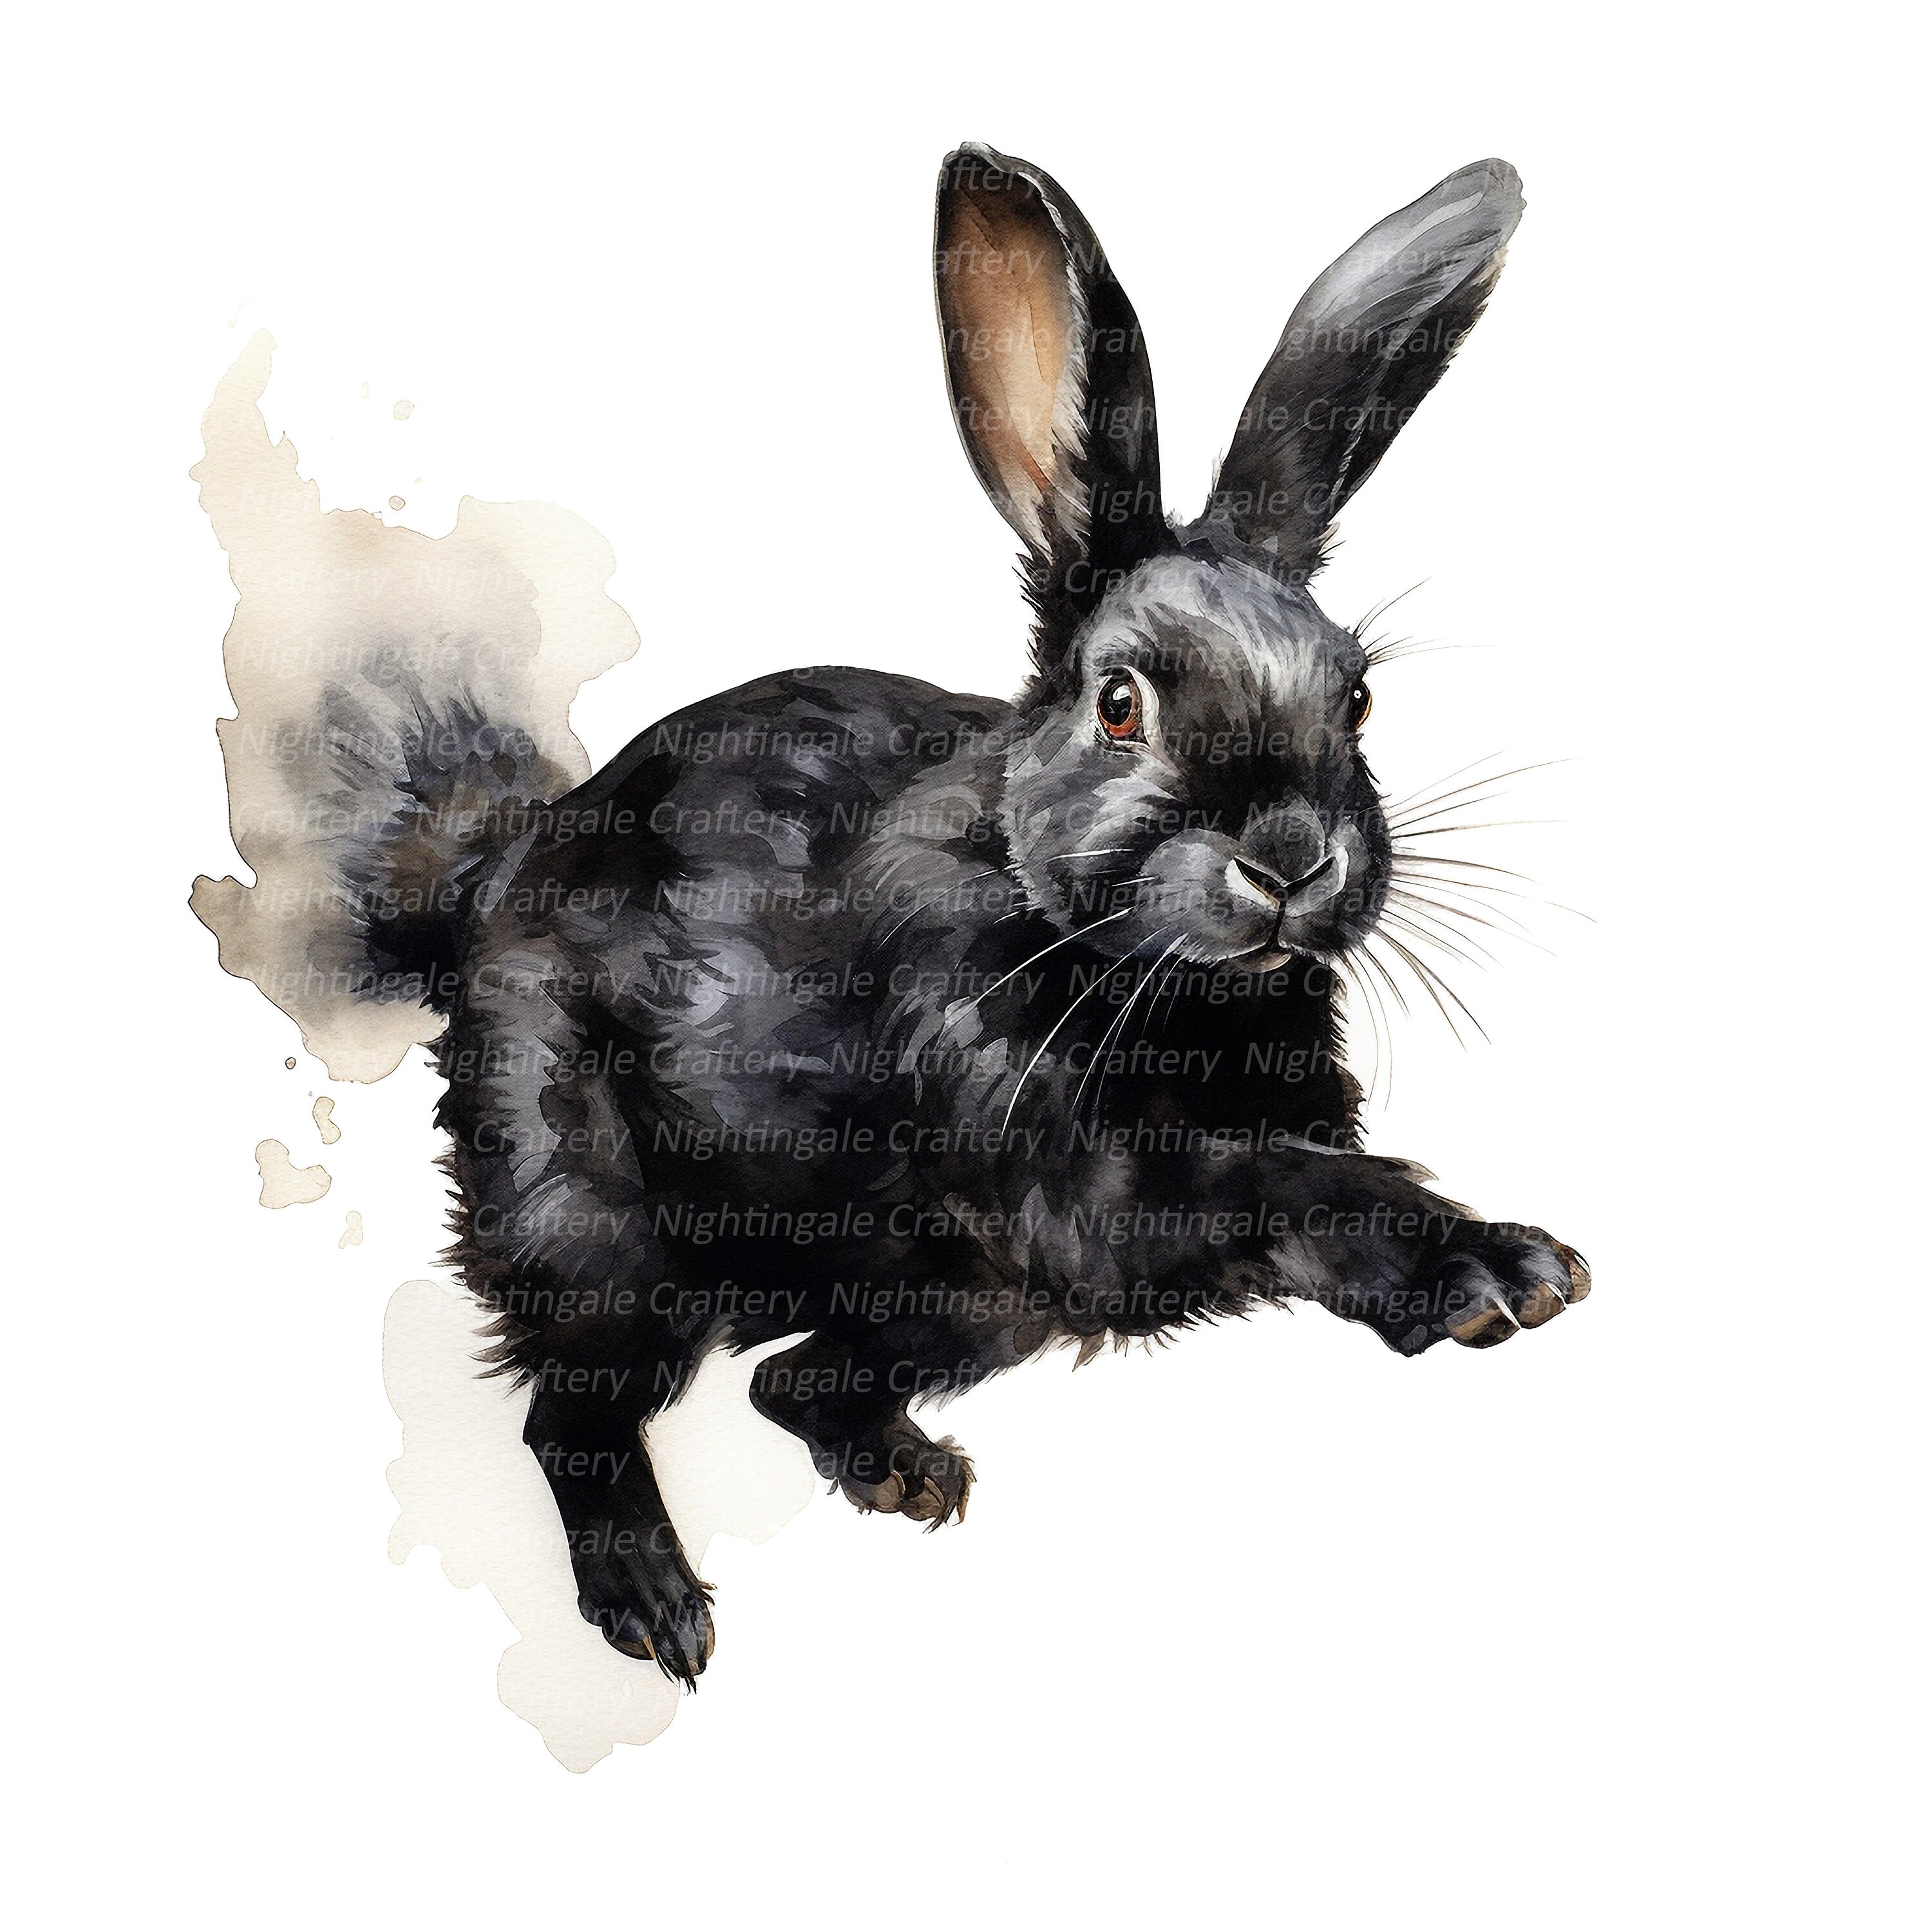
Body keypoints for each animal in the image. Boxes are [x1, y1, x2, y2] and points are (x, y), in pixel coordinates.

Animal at [343, 143, 1588, 1683]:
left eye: (1354, 698)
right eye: (1120, 704)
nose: (1293, 860)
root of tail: (487, 890)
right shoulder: (1068, 1171)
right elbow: (1278, 1190)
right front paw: (1496, 1269)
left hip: (956, 1302)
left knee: (788, 1384)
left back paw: (906, 1474)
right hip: (593, 1219)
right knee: (572, 1412)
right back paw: (656, 1606)